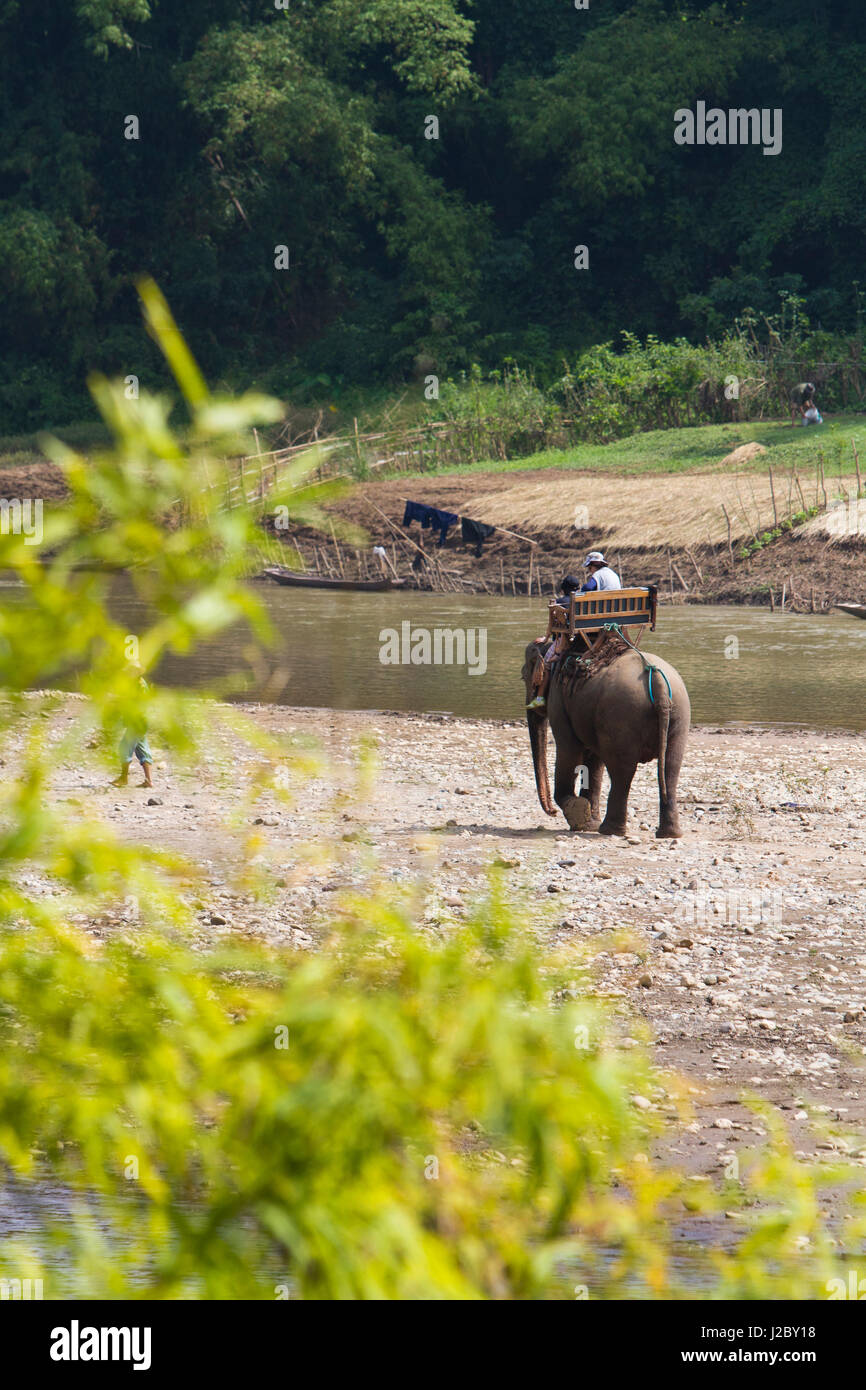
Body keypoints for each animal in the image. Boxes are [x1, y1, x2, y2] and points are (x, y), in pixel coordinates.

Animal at [522, 635, 690, 838]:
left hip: (622, 716)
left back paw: (610, 830)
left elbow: (570, 750)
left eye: (523, 676)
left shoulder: (558, 701)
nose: (552, 813)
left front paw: (579, 814)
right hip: (678, 715)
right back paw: (669, 834)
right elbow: (593, 761)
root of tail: (657, 681)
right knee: (670, 768)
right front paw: (588, 822)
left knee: (622, 770)